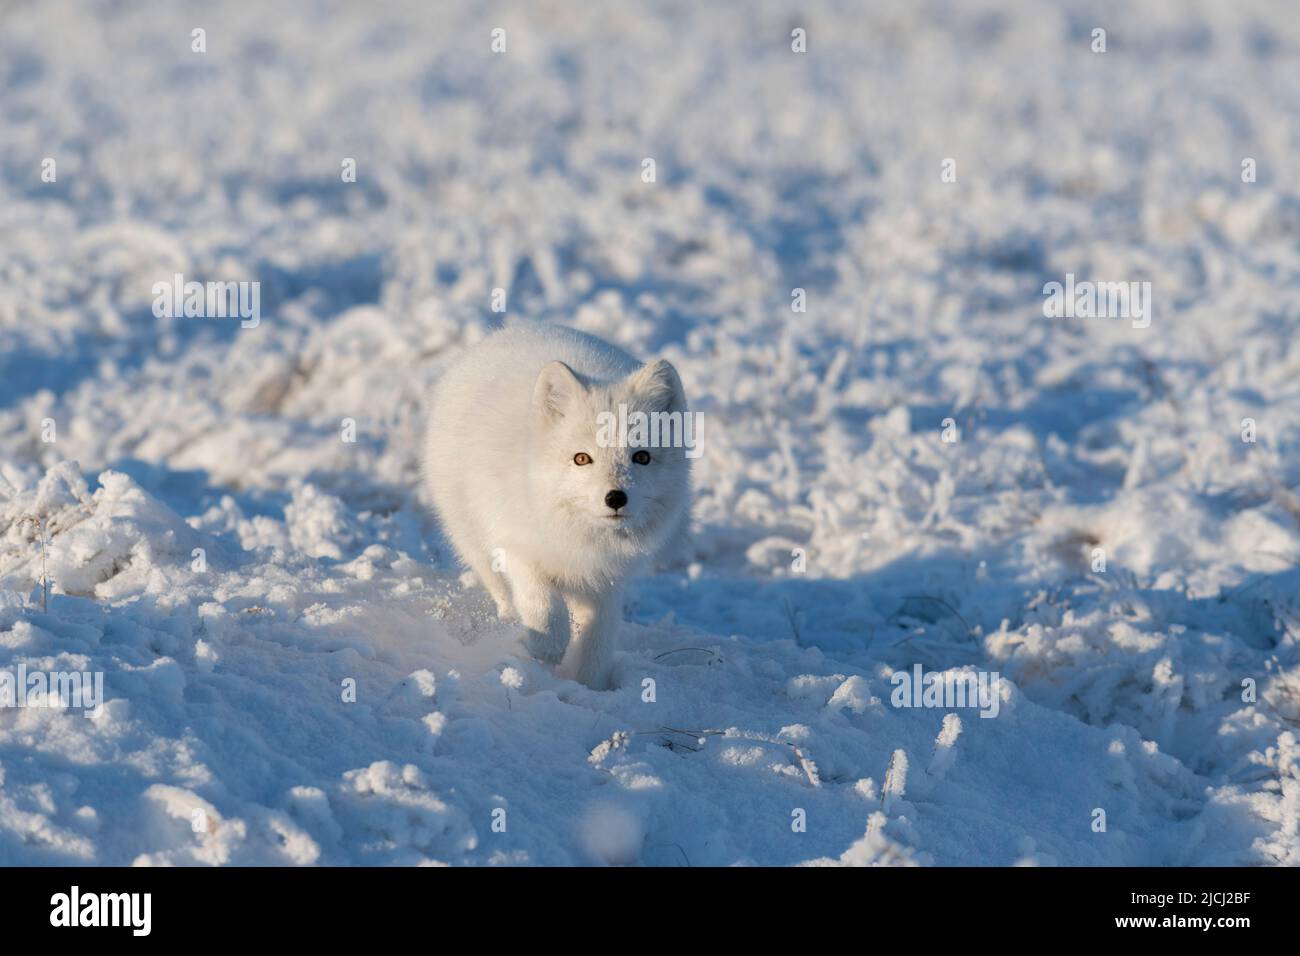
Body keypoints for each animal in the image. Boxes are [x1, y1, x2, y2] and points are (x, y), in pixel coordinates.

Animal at [422, 324, 692, 689]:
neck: (581, 537)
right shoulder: (515, 544)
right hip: (470, 536)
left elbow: (599, 637)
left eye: (642, 457)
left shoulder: (608, 579)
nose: (615, 498)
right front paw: (547, 646)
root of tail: (514, 329)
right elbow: (543, 605)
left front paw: (590, 684)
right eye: (581, 459)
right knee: (501, 589)